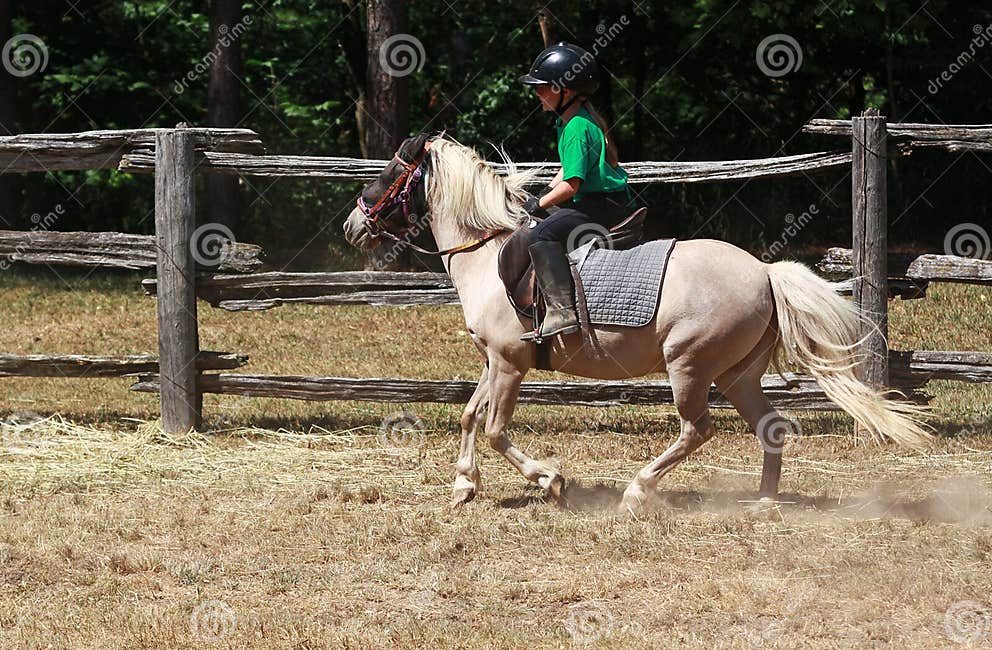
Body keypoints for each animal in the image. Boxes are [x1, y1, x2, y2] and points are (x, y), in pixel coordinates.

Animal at [342, 133, 932, 514]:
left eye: (391, 173)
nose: (352, 225)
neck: (486, 257)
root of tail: (764, 271)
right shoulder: (496, 359)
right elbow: (469, 415)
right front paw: (465, 485)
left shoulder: (510, 363)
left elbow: (494, 429)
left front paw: (550, 480)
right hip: (737, 374)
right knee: (772, 426)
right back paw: (763, 503)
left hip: (689, 366)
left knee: (698, 429)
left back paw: (638, 491)